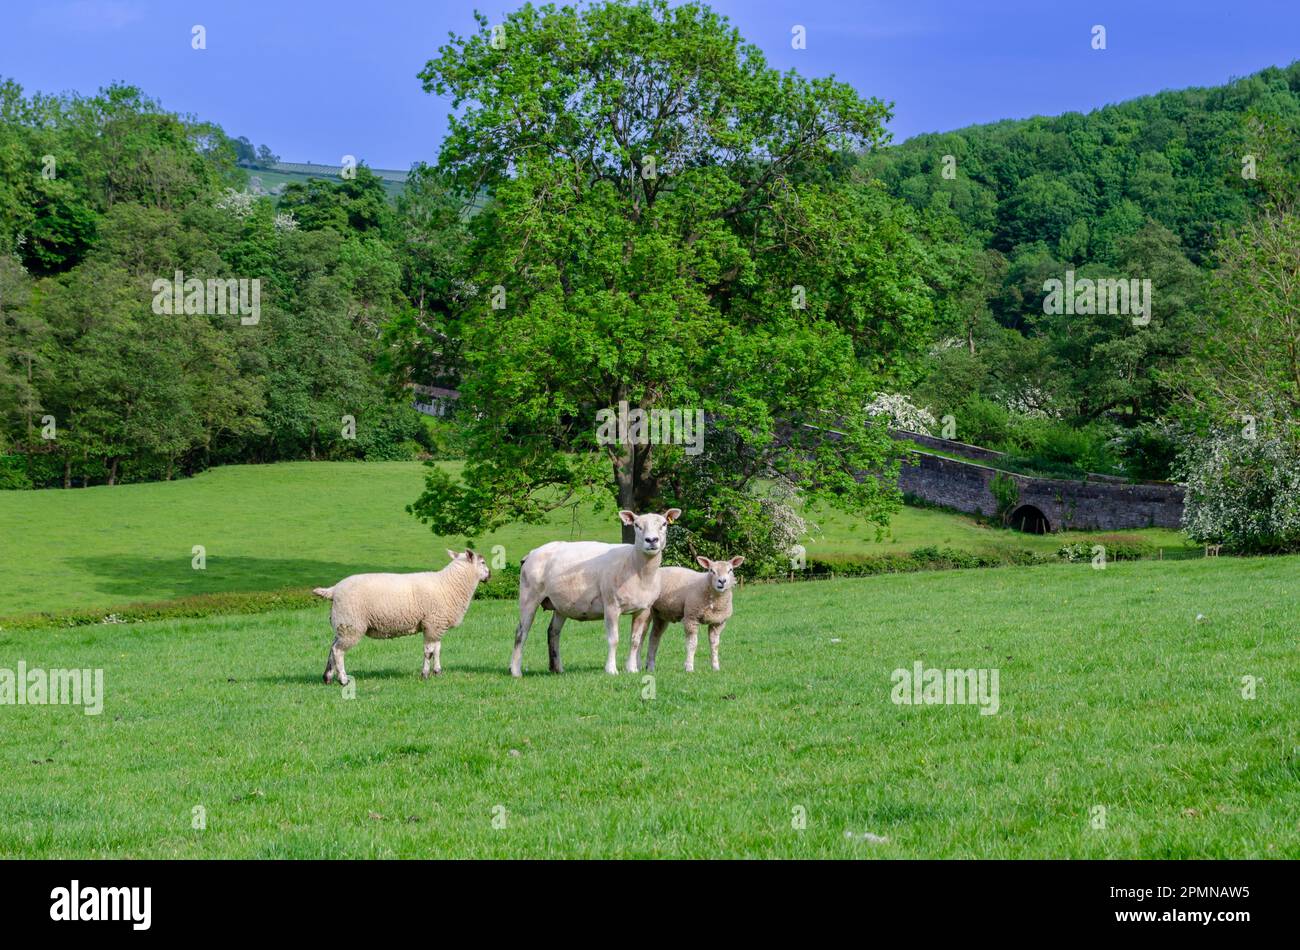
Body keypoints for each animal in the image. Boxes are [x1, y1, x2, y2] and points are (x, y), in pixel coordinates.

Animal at [313, 550, 490, 686]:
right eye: (482, 562)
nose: (490, 575)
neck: (449, 584)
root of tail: (333, 590)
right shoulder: (432, 623)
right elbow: (429, 652)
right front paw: (425, 675)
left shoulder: (437, 625)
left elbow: (437, 650)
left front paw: (438, 672)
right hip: (352, 624)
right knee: (338, 651)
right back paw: (343, 680)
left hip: (343, 625)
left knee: (332, 648)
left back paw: (327, 677)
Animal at [510, 508, 681, 677]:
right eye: (637, 525)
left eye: (664, 524)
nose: (651, 540)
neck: (636, 567)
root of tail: (532, 553)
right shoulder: (611, 605)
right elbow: (614, 639)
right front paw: (611, 670)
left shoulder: (643, 609)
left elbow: (635, 641)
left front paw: (632, 669)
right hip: (529, 595)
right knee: (521, 632)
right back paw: (516, 671)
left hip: (560, 604)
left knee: (553, 632)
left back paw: (556, 668)